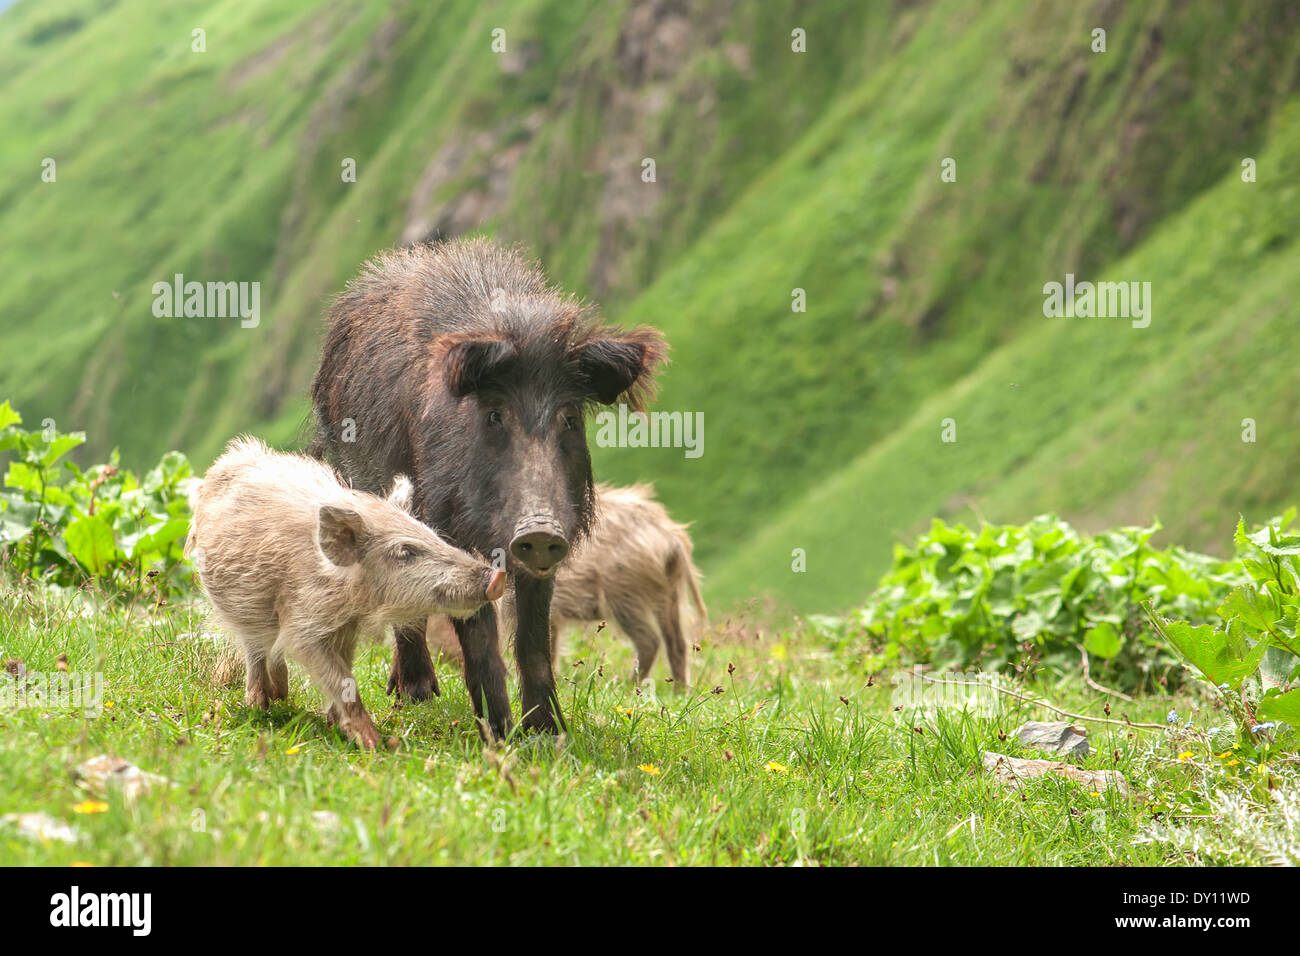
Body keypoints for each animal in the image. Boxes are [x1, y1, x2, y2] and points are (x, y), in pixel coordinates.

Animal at [185, 436, 506, 749]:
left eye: (433, 535)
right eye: (406, 552)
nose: (495, 575)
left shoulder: (345, 627)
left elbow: (345, 667)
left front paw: (334, 723)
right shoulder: (304, 626)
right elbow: (338, 678)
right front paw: (376, 744)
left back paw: (281, 696)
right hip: (240, 605)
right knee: (254, 647)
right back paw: (259, 706)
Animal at [311, 238, 665, 738]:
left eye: (570, 420)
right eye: (495, 415)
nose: (540, 529)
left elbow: (534, 638)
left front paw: (548, 734)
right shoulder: (450, 527)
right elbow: (477, 633)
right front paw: (498, 734)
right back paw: (416, 695)